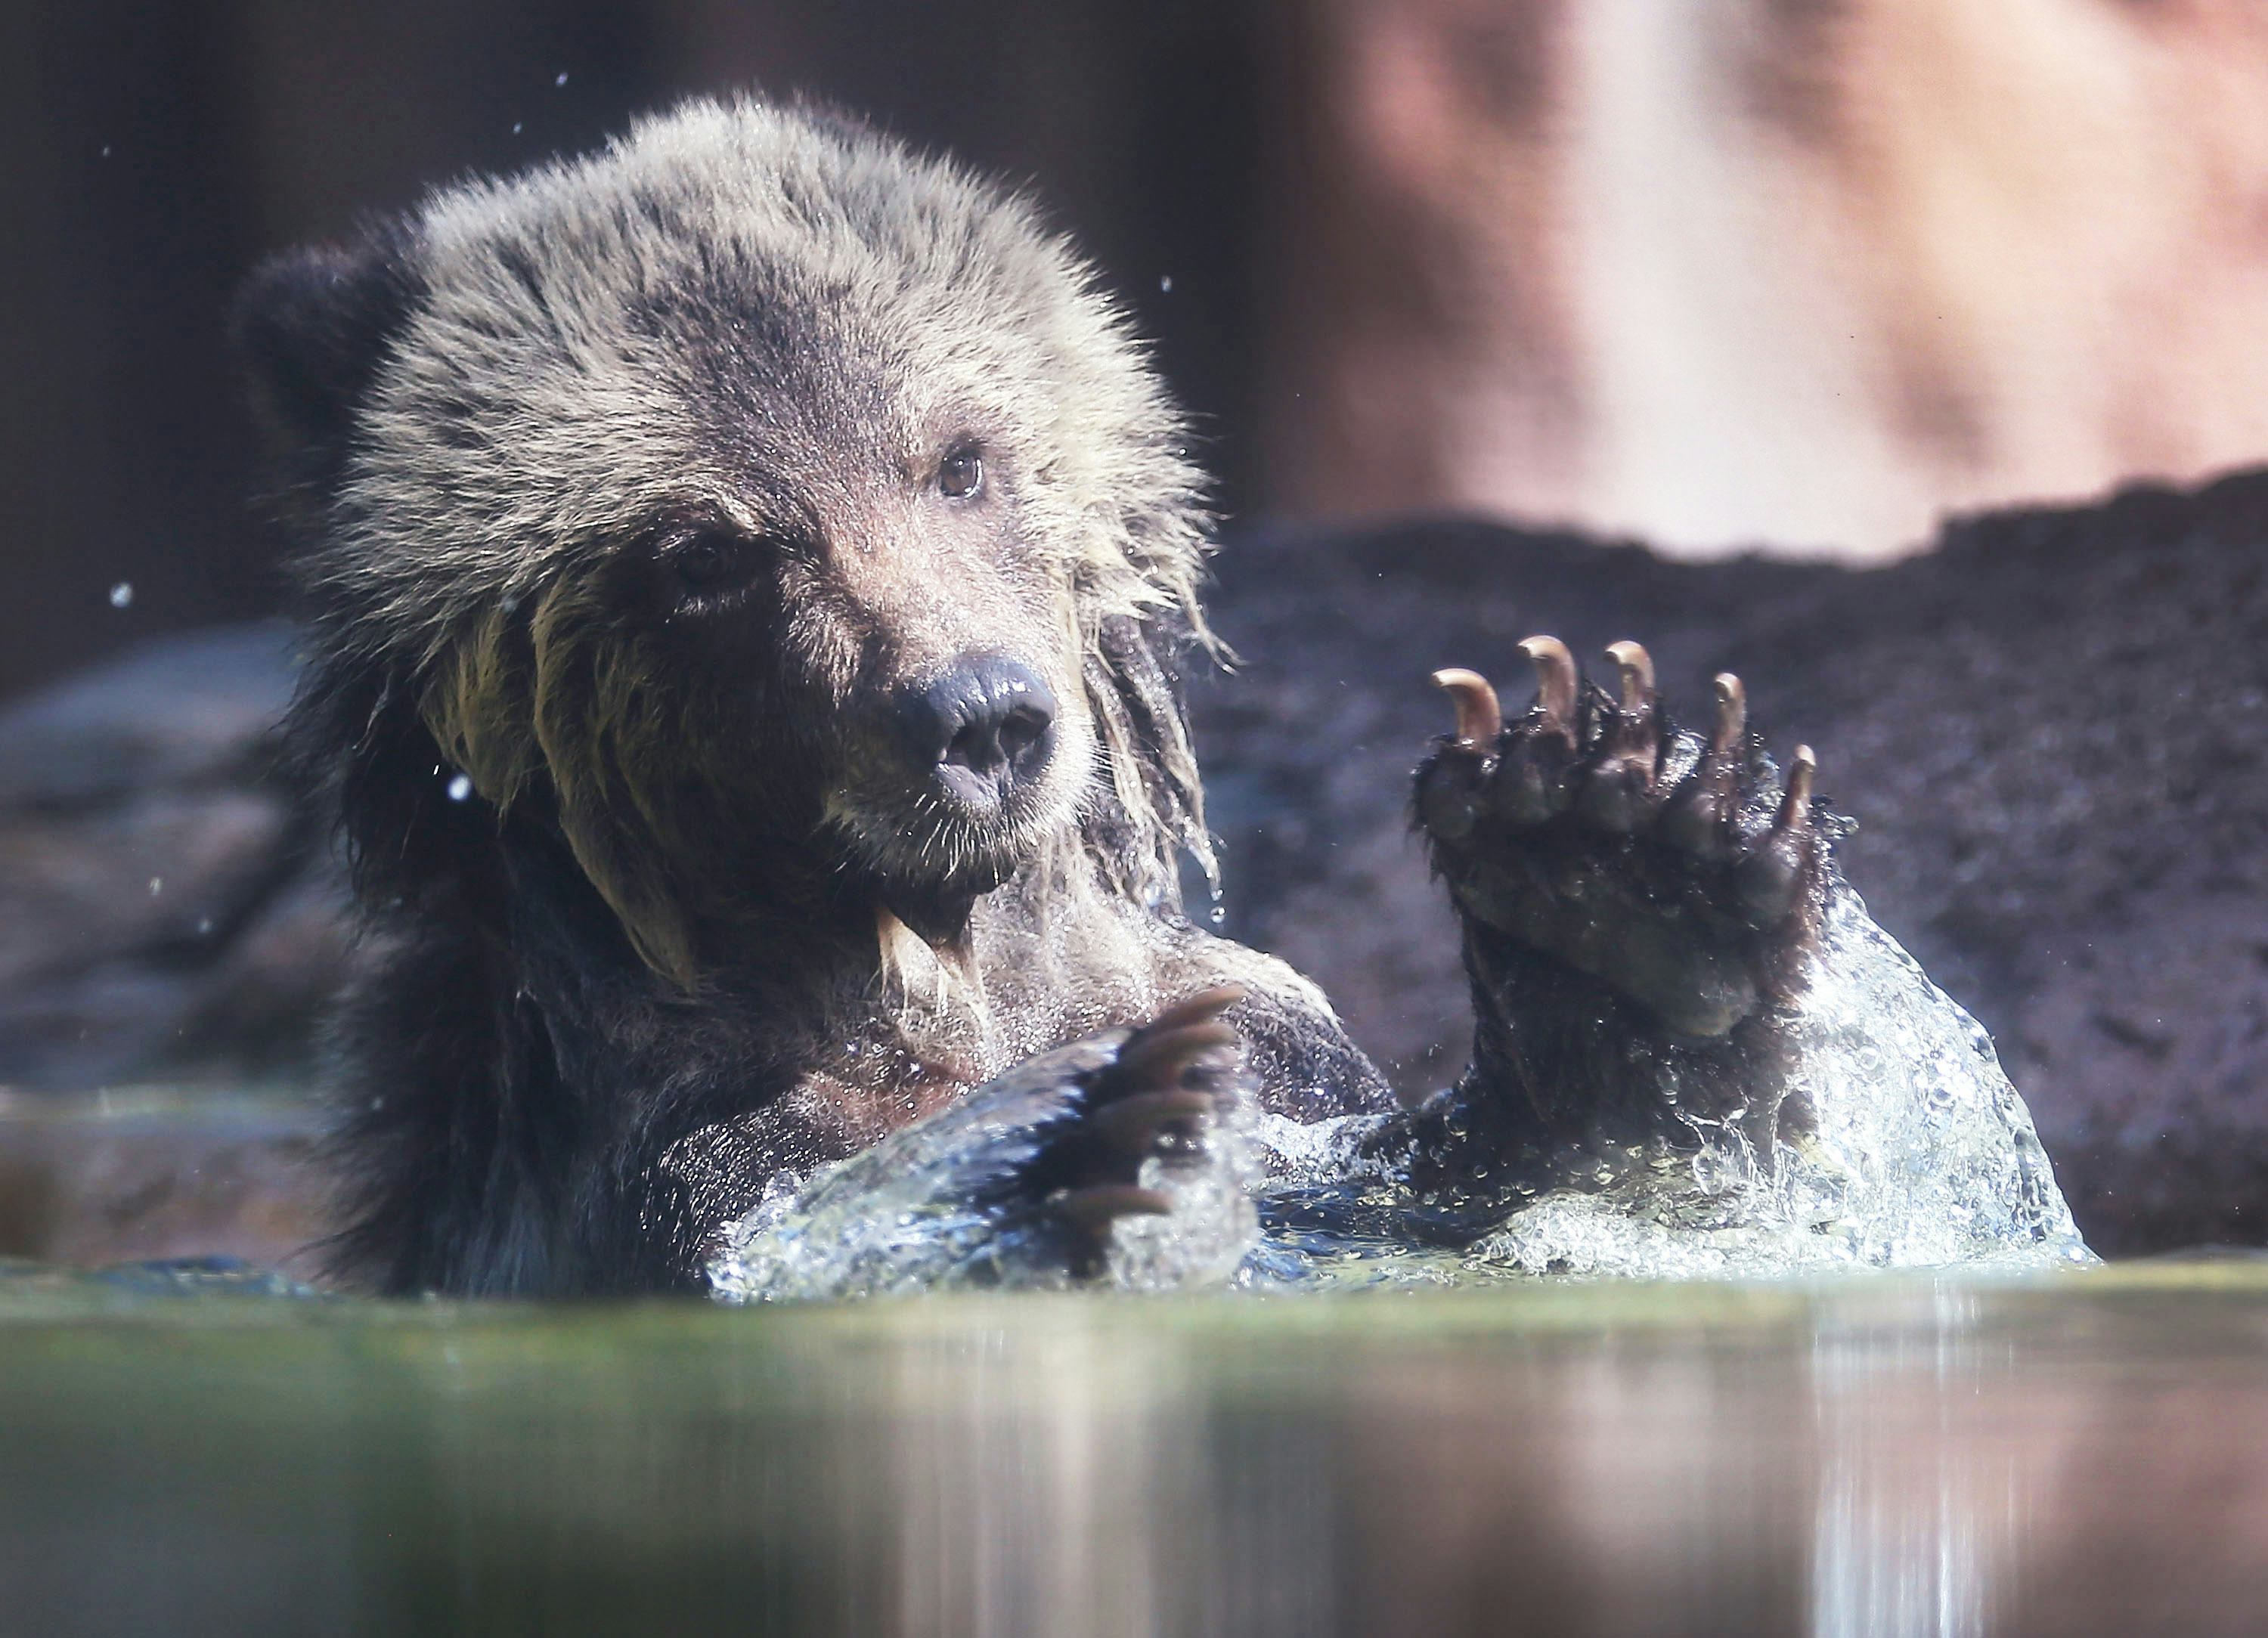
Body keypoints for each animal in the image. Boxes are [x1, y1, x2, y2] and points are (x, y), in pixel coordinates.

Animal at [233, 96, 2076, 1297]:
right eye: (707, 551)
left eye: (957, 457)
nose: (979, 719)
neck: (939, 973)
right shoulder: (666, 1169)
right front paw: (1098, 1144)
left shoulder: (1284, 1049)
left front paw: (1623, 868)